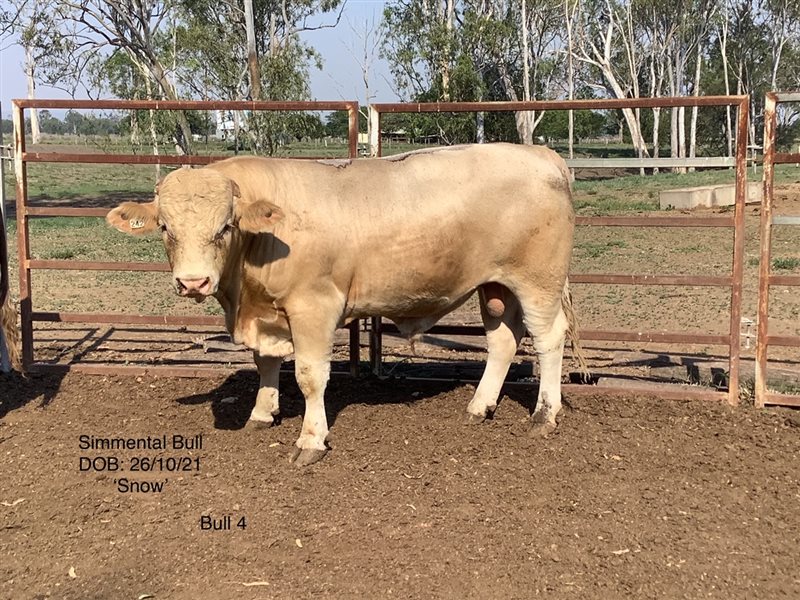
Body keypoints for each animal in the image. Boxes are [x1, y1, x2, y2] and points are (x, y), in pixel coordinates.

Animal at [106, 143, 584, 466]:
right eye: (165, 227)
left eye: (225, 226)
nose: (193, 281)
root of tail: (543, 155)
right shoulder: (268, 314)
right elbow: (265, 362)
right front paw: (262, 413)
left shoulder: (313, 307)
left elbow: (310, 376)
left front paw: (311, 440)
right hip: (496, 287)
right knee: (503, 340)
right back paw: (479, 407)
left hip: (538, 282)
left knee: (548, 338)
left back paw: (544, 414)